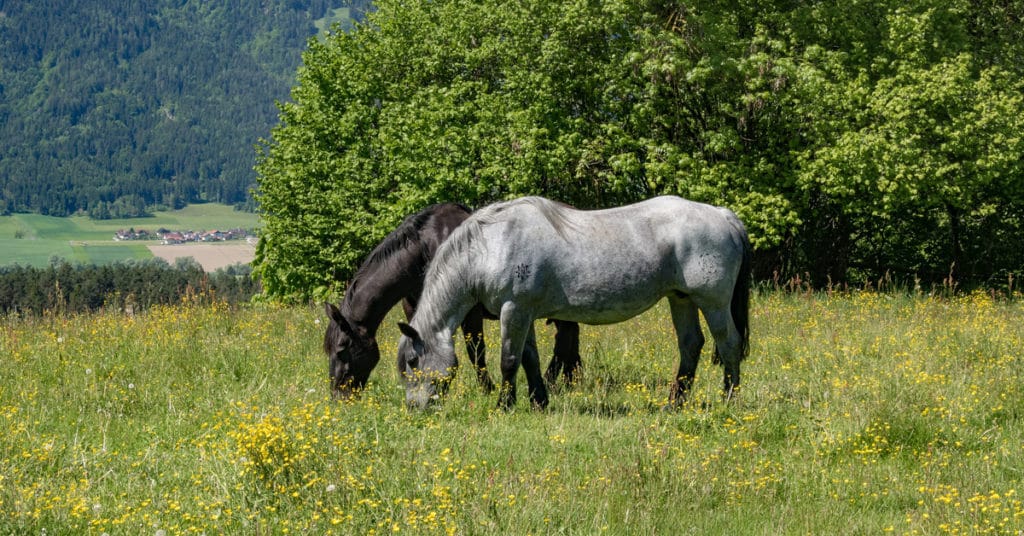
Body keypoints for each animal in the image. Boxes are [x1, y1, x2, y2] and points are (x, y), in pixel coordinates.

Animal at [323, 202, 581, 399]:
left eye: (342, 349)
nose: (339, 395)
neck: (423, 250)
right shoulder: (415, 309)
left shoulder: (470, 311)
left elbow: (476, 351)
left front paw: (487, 389)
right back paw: (570, 380)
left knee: (564, 340)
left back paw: (553, 382)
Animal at [397, 195, 751, 410]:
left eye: (413, 362)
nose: (415, 409)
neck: (492, 246)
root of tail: (723, 216)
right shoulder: (524, 311)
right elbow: (530, 359)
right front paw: (539, 402)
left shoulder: (514, 309)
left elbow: (509, 360)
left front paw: (504, 405)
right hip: (681, 299)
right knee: (691, 345)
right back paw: (673, 404)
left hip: (713, 302)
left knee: (729, 343)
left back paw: (729, 398)